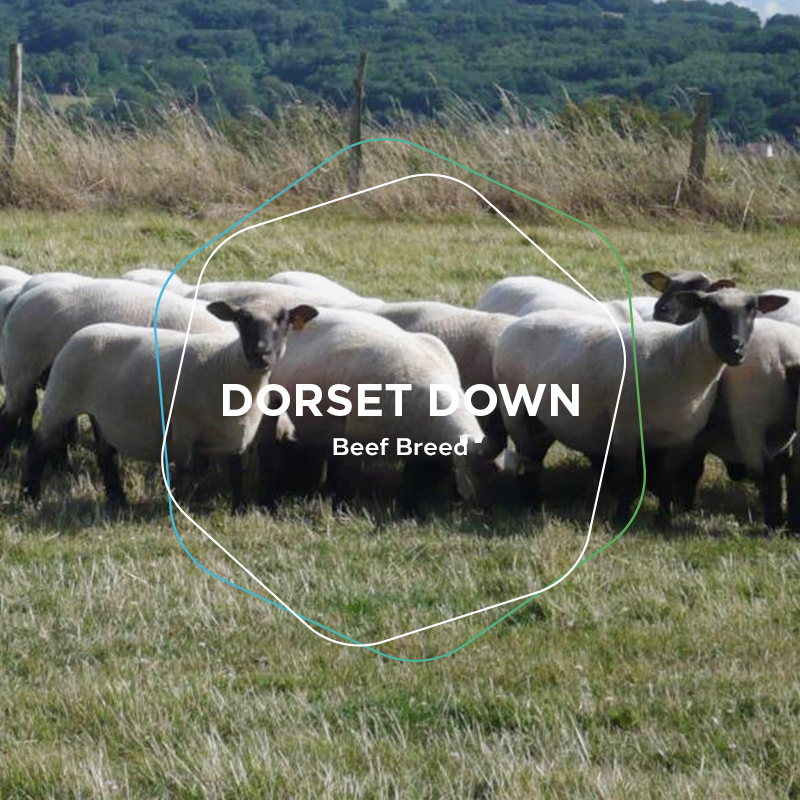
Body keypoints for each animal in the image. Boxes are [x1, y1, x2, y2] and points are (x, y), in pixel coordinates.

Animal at [22, 301, 318, 513]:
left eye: (284, 320)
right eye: (242, 320)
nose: (261, 354)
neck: (226, 366)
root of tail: (81, 333)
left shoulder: (238, 435)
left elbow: (237, 472)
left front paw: (240, 509)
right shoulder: (183, 428)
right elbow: (183, 469)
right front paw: (179, 509)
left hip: (100, 412)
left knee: (105, 454)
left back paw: (118, 501)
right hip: (61, 399)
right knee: (38, 446)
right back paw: (30, 498)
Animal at [265, 308, 496, 510]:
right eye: (480, 471)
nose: (486, 509)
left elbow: (413, 480)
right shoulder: (355, 438)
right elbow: (346, 478)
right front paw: (341, 505)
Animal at [493, 288, 789, 521]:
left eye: (753, 310)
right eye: (709, 308)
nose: (735, 348)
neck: (679, 356)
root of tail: (515, 325)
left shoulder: (678, 439)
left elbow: (666, 482)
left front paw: (664, 520)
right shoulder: (624, 432)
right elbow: (628, 481)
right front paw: (621, 519)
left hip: (542, 420)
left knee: (535, 456)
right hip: (517, 413)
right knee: (527, 460)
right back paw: (530, 505)